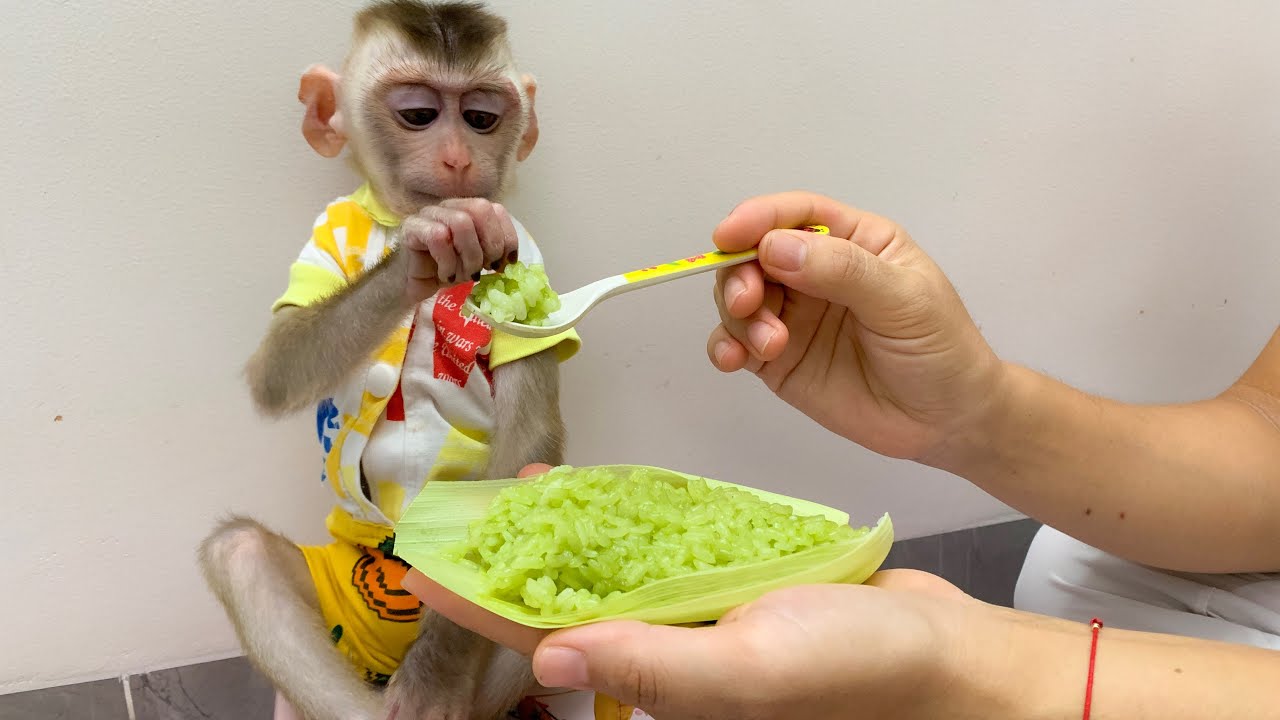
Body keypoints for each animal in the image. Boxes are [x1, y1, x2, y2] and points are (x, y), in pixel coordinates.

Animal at [197, 3, 582, 719]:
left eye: (481, 117)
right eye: (418, 113)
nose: (457, 157)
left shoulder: (534, 263)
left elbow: (528, 436)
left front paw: (434, 680)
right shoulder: (327, 229)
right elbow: (277, 369)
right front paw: (425, 249)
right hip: (340, 613)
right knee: (239, 552)